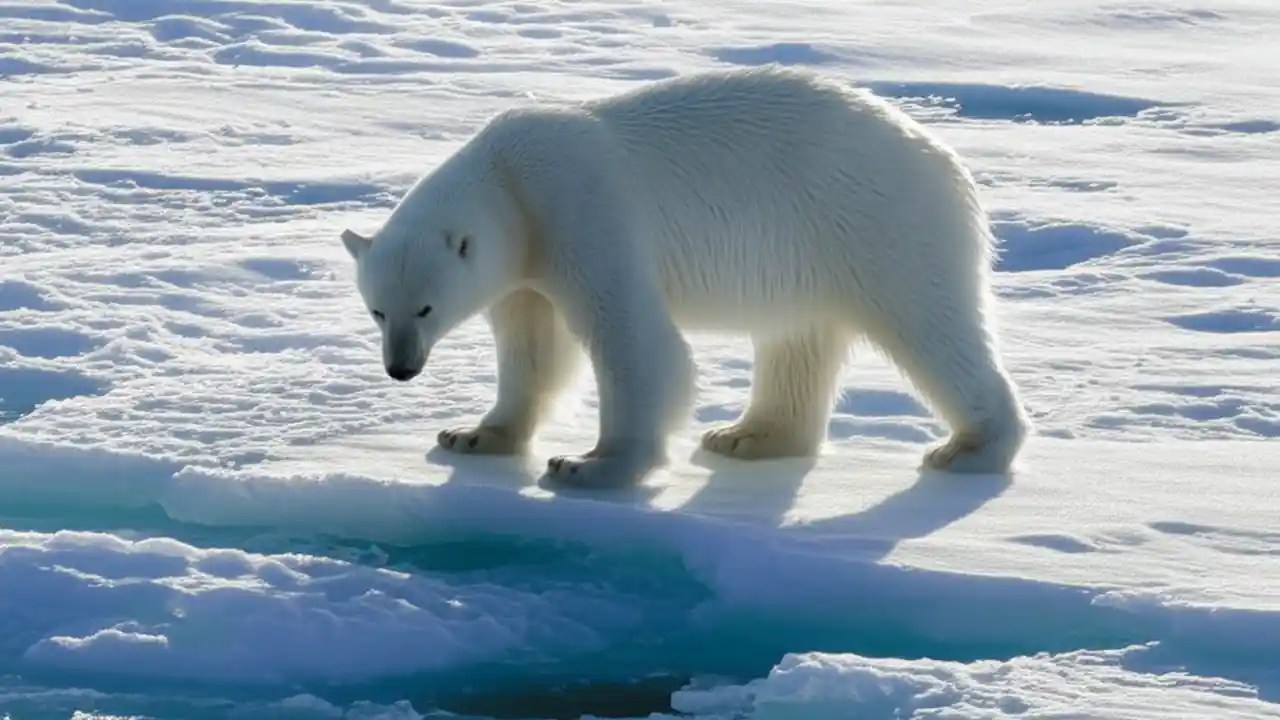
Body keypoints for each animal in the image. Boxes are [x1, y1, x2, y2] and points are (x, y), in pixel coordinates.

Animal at [341, 66, 1028, 487]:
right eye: (378, 310)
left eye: (425, 309)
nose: (400, 369)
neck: (511, 182)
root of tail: (948, 162)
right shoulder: (524, 266)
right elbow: (532, 349)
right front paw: (473, 435)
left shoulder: (582, 211)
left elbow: (634, 339)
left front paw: (589, 465)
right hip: (814, 253)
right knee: (799, 340)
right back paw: (748, 435)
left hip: (880, 226)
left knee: (931, 327)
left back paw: (970, 447)